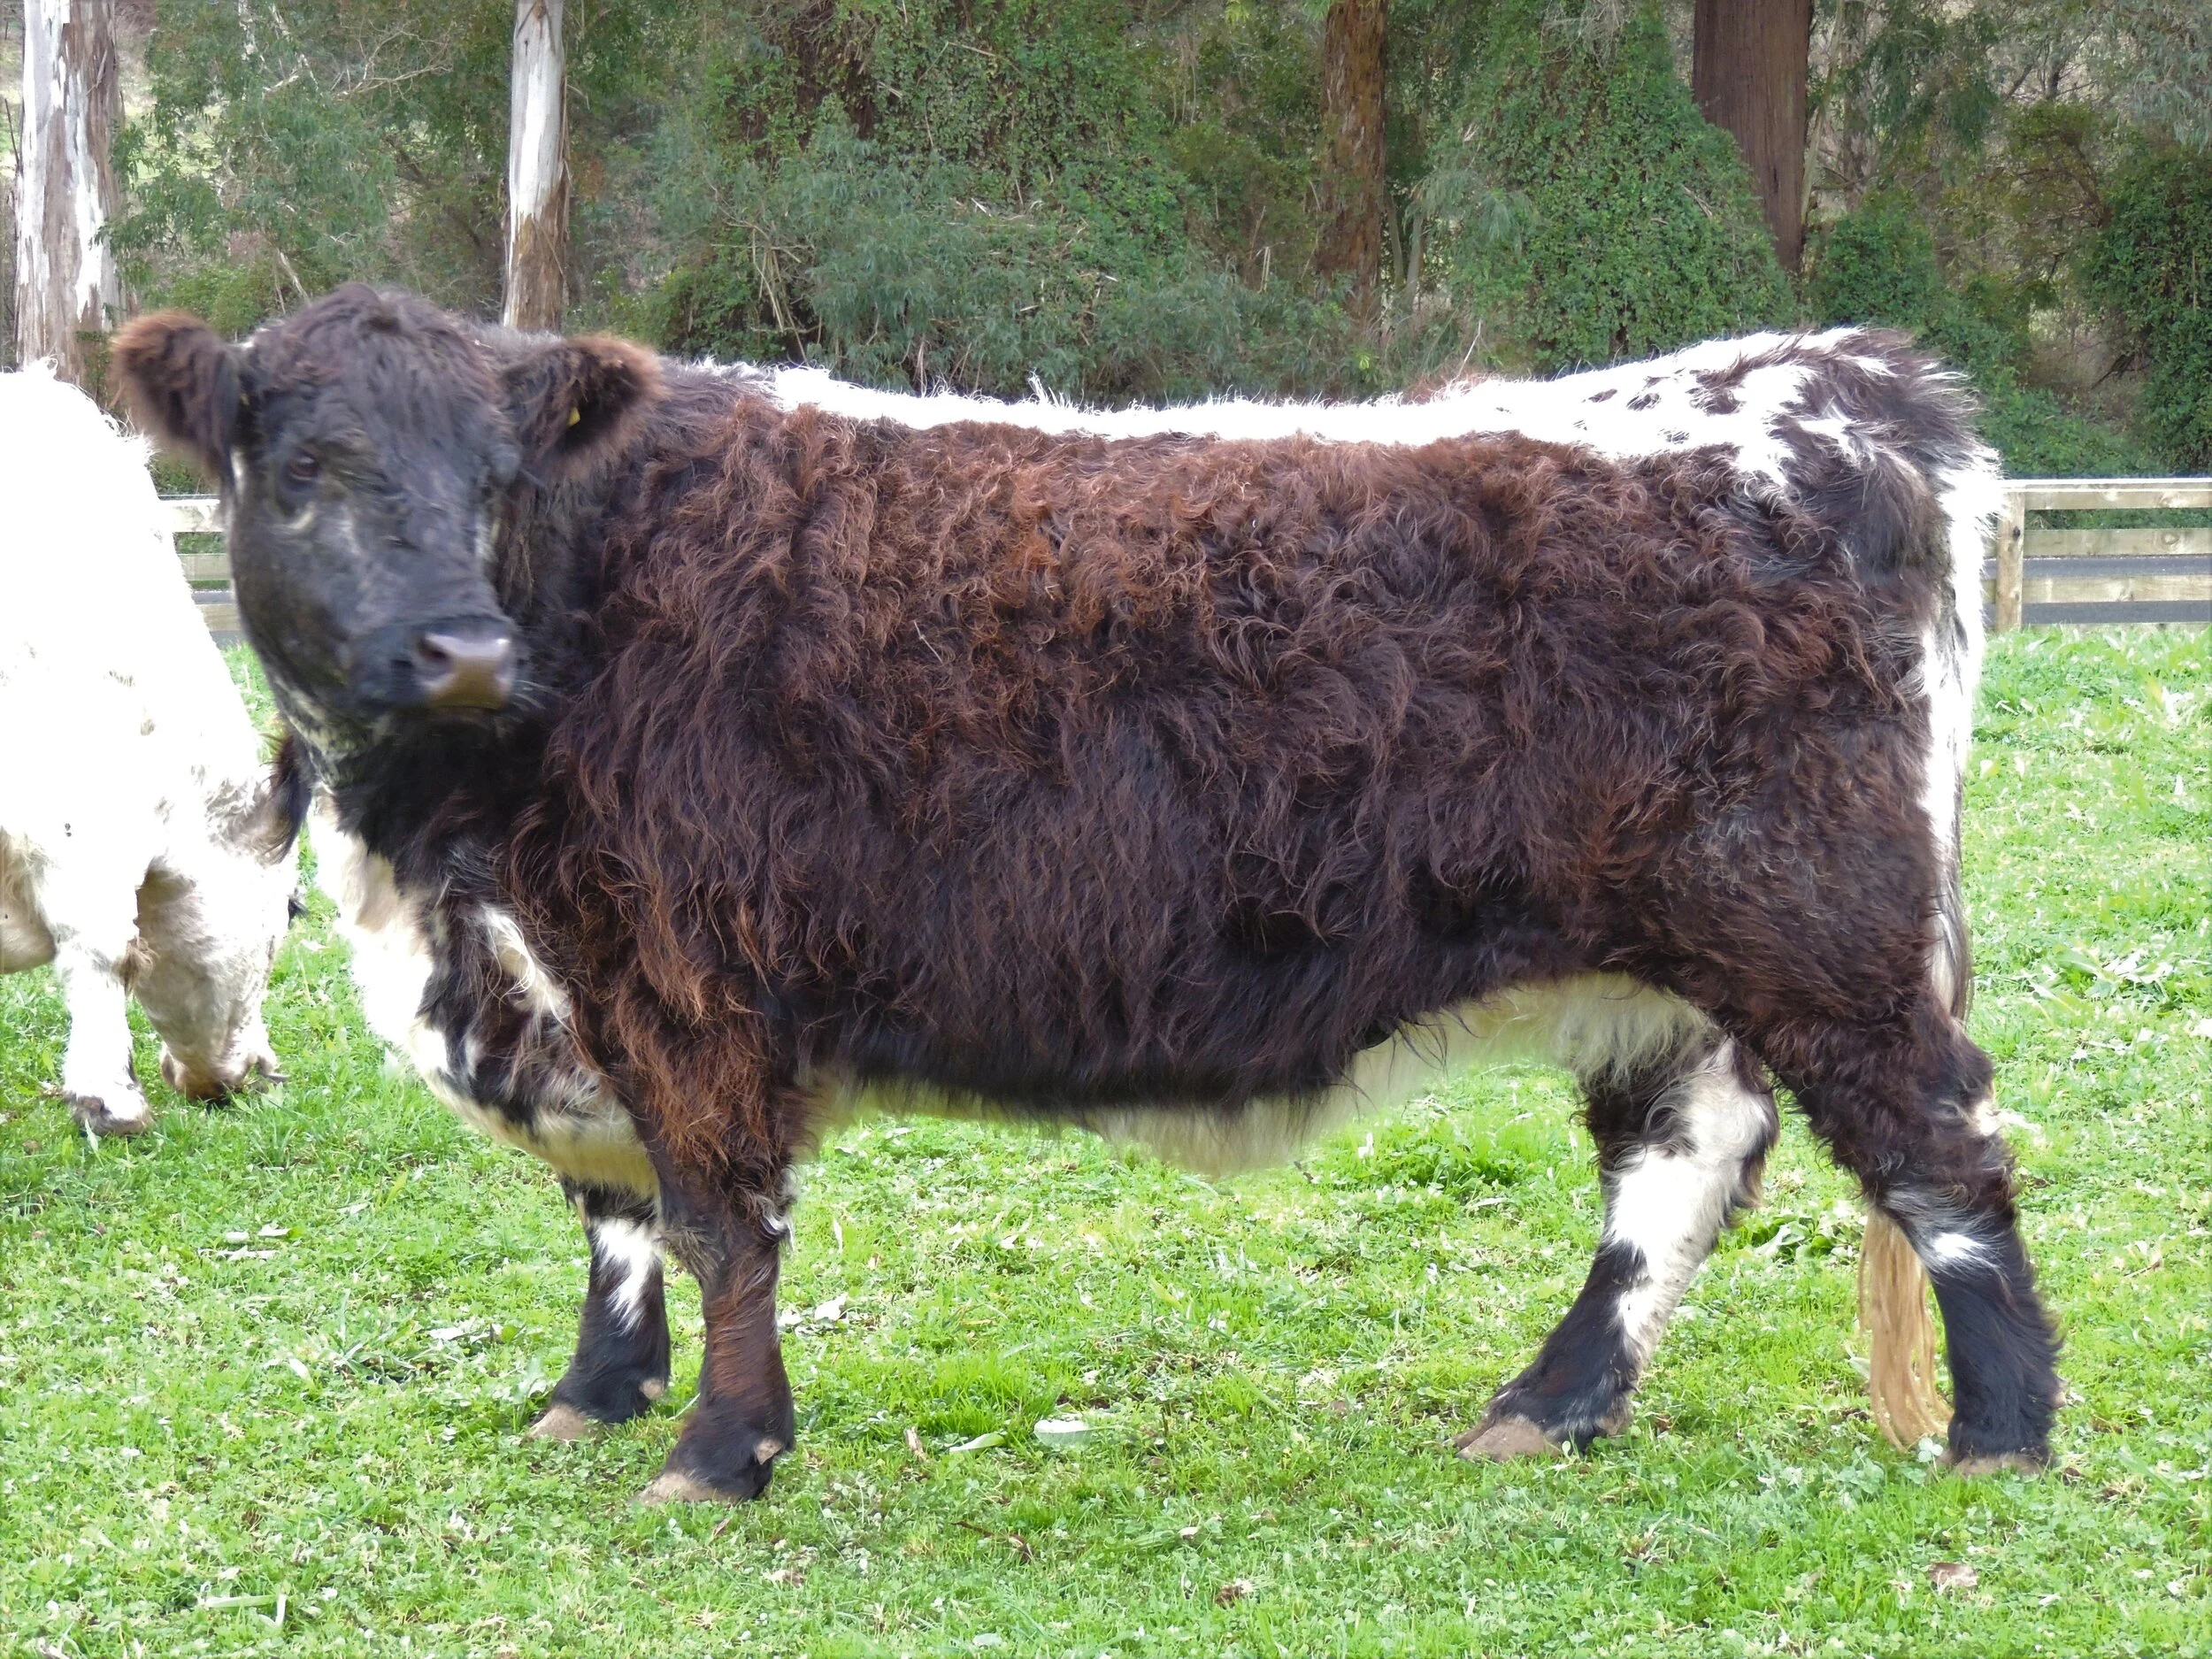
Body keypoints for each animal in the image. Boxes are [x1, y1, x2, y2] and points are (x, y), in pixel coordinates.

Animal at [115, 285, 2057, 1503]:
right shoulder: (569, 984)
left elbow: (719, 1220)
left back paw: (2004, 1435)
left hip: (1822, 932)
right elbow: (616, 1215)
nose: (459, 646)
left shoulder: (682, 977)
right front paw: (591, 1402)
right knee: (1676, 1172)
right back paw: (1545, 1410)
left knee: (1940, 1152)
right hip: (1677, 969)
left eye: (499, 481)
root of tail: (1840, 381)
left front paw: (716, 1456)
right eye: (307, 475)